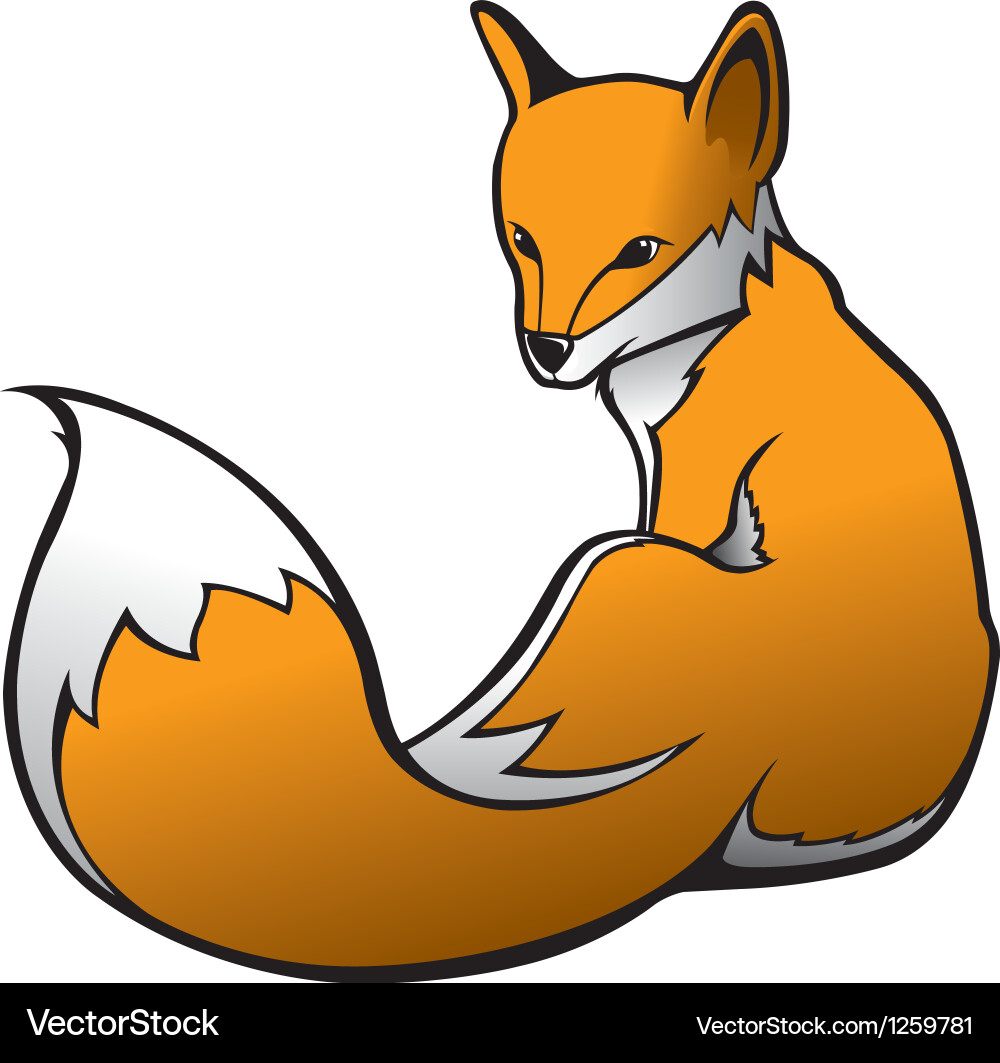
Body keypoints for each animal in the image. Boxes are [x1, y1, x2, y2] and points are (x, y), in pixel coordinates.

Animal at [1, 1, 995, 983]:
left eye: (641, 250)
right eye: (521, 240)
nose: (547, 351)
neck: (718, 322)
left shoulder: (687, 492)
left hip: (607, 567)